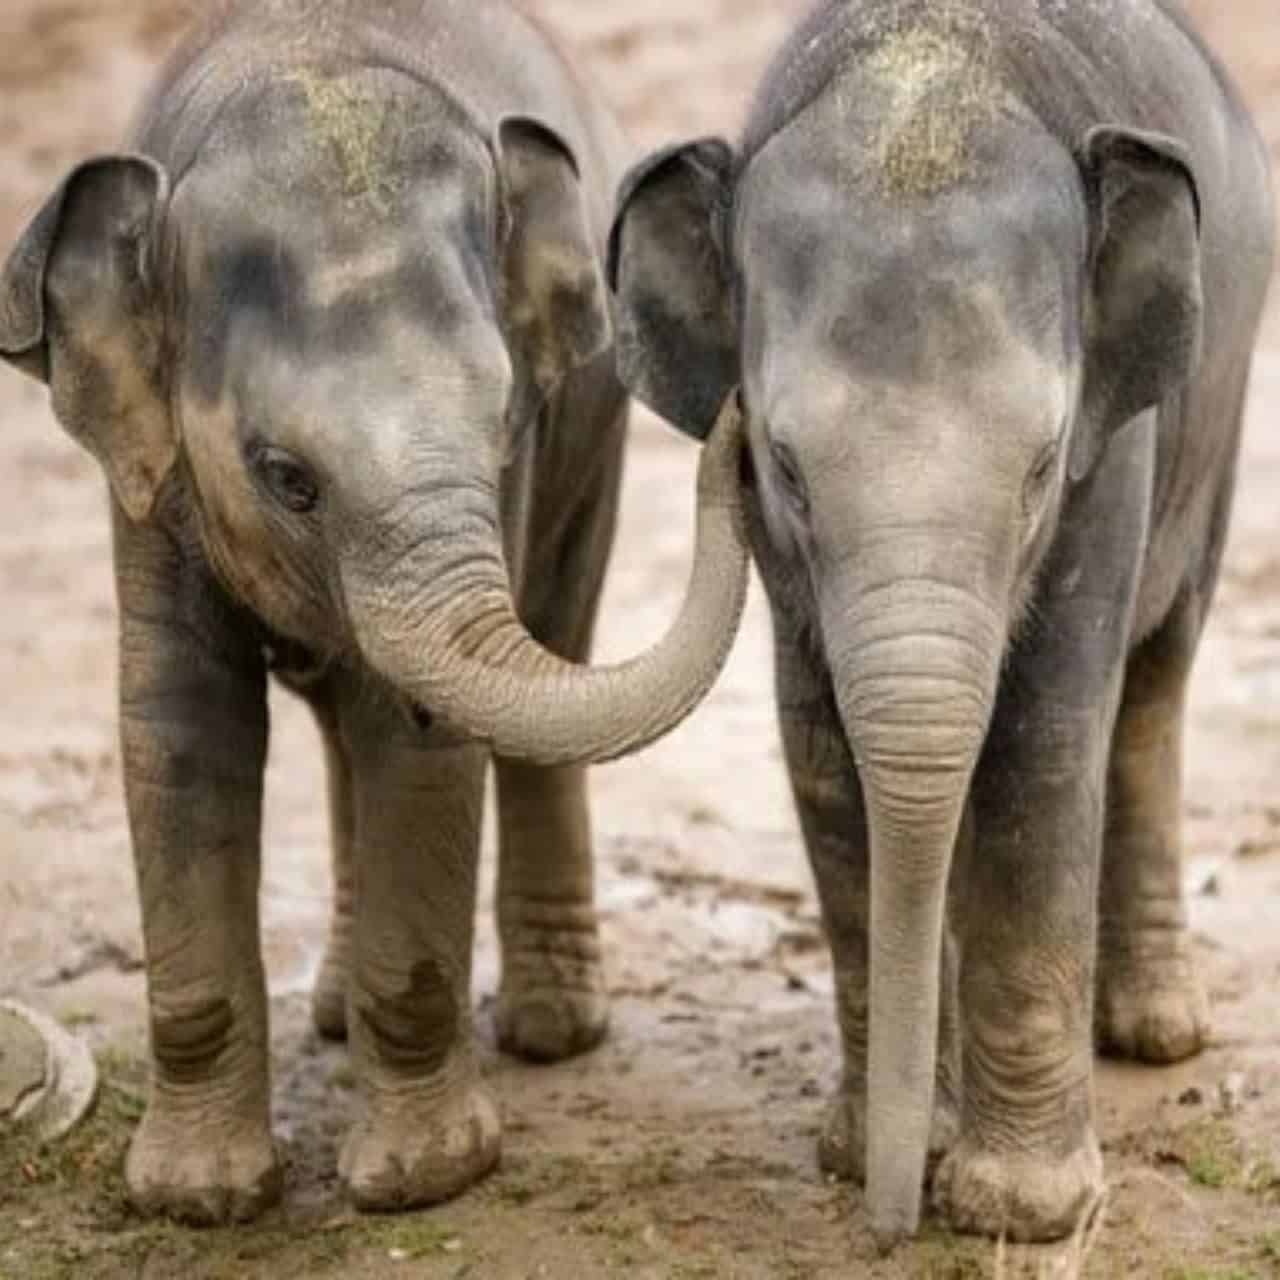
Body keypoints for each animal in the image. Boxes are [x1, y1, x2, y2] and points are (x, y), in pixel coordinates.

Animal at [0, 0, 749, 1225]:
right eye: (285, 477)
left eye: (502, 417)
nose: (737, 416)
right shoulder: (144, 480)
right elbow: (179, 733)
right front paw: (199, 1199)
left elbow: (417, 734)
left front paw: (414, 1182)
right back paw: (336, 1015)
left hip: (592, 449)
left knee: (549, 647)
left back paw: (549, 1032)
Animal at [609, 0, 1274, 1248]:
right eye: (783, 467)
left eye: (1038, 466)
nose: (886, 1226)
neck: (923, 72)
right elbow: (822, 756)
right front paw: (883, 1147)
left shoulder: (1112, 452)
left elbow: (1040, 747)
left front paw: (1018, 1207)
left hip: (1216, 419)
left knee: (1154, 686)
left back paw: (1152, 1031)